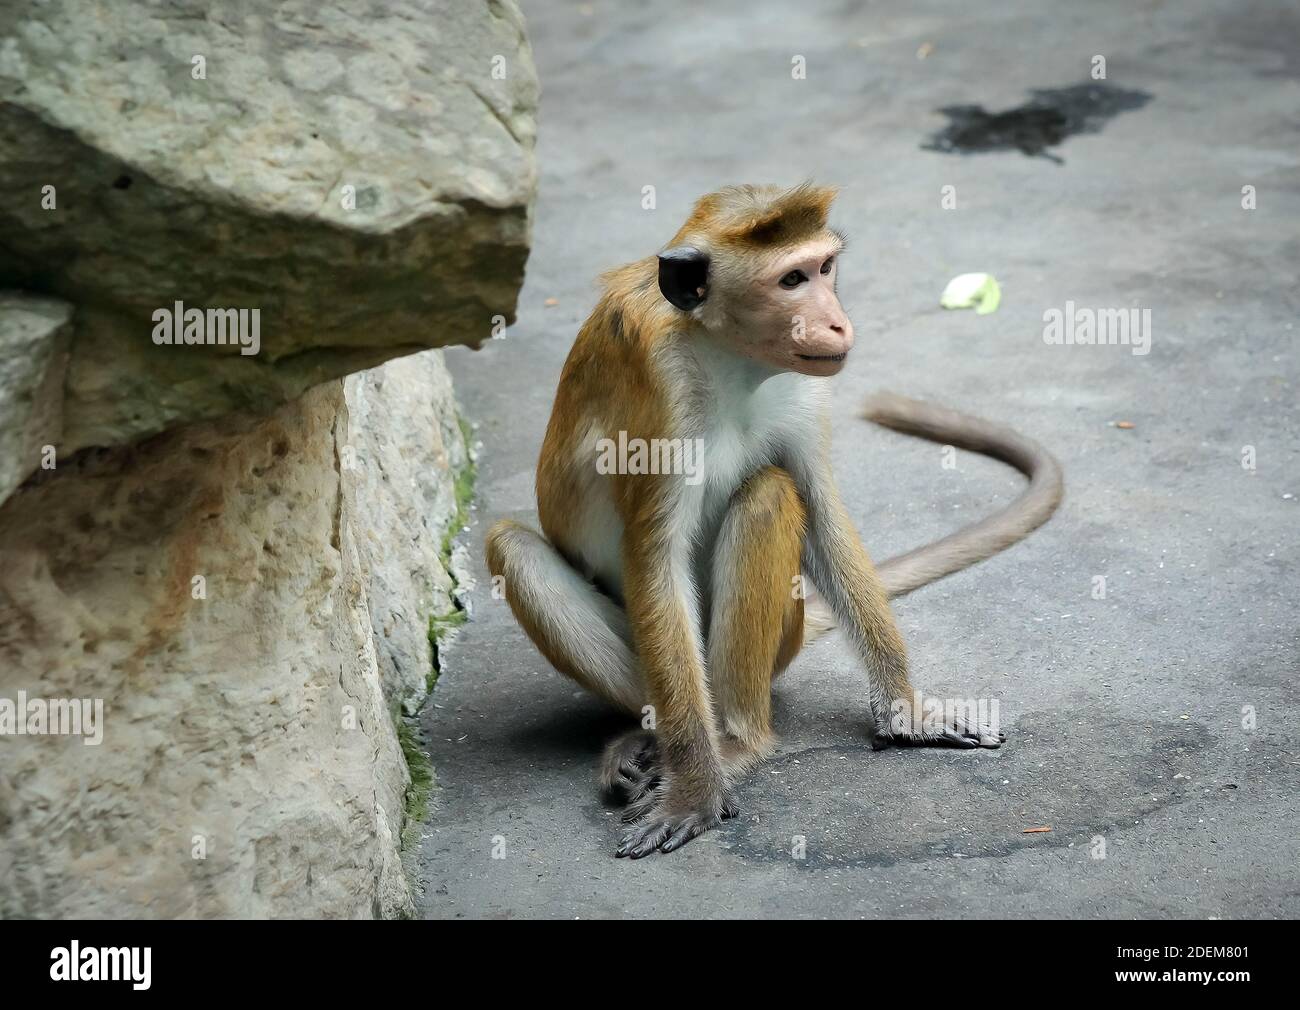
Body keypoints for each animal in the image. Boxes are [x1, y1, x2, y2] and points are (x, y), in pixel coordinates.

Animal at [486, 183, 1063, 858]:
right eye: (791, 279)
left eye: (825, 268)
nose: (836, 320)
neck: (725, 352)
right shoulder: (661, 390)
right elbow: (656, 557)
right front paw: (696, 790)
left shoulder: (802, 387)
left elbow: (821, 512)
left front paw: (906, 714)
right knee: (514, 549)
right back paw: (677, 745)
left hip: (783, 636)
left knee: (769, 493)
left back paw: (733, 742)